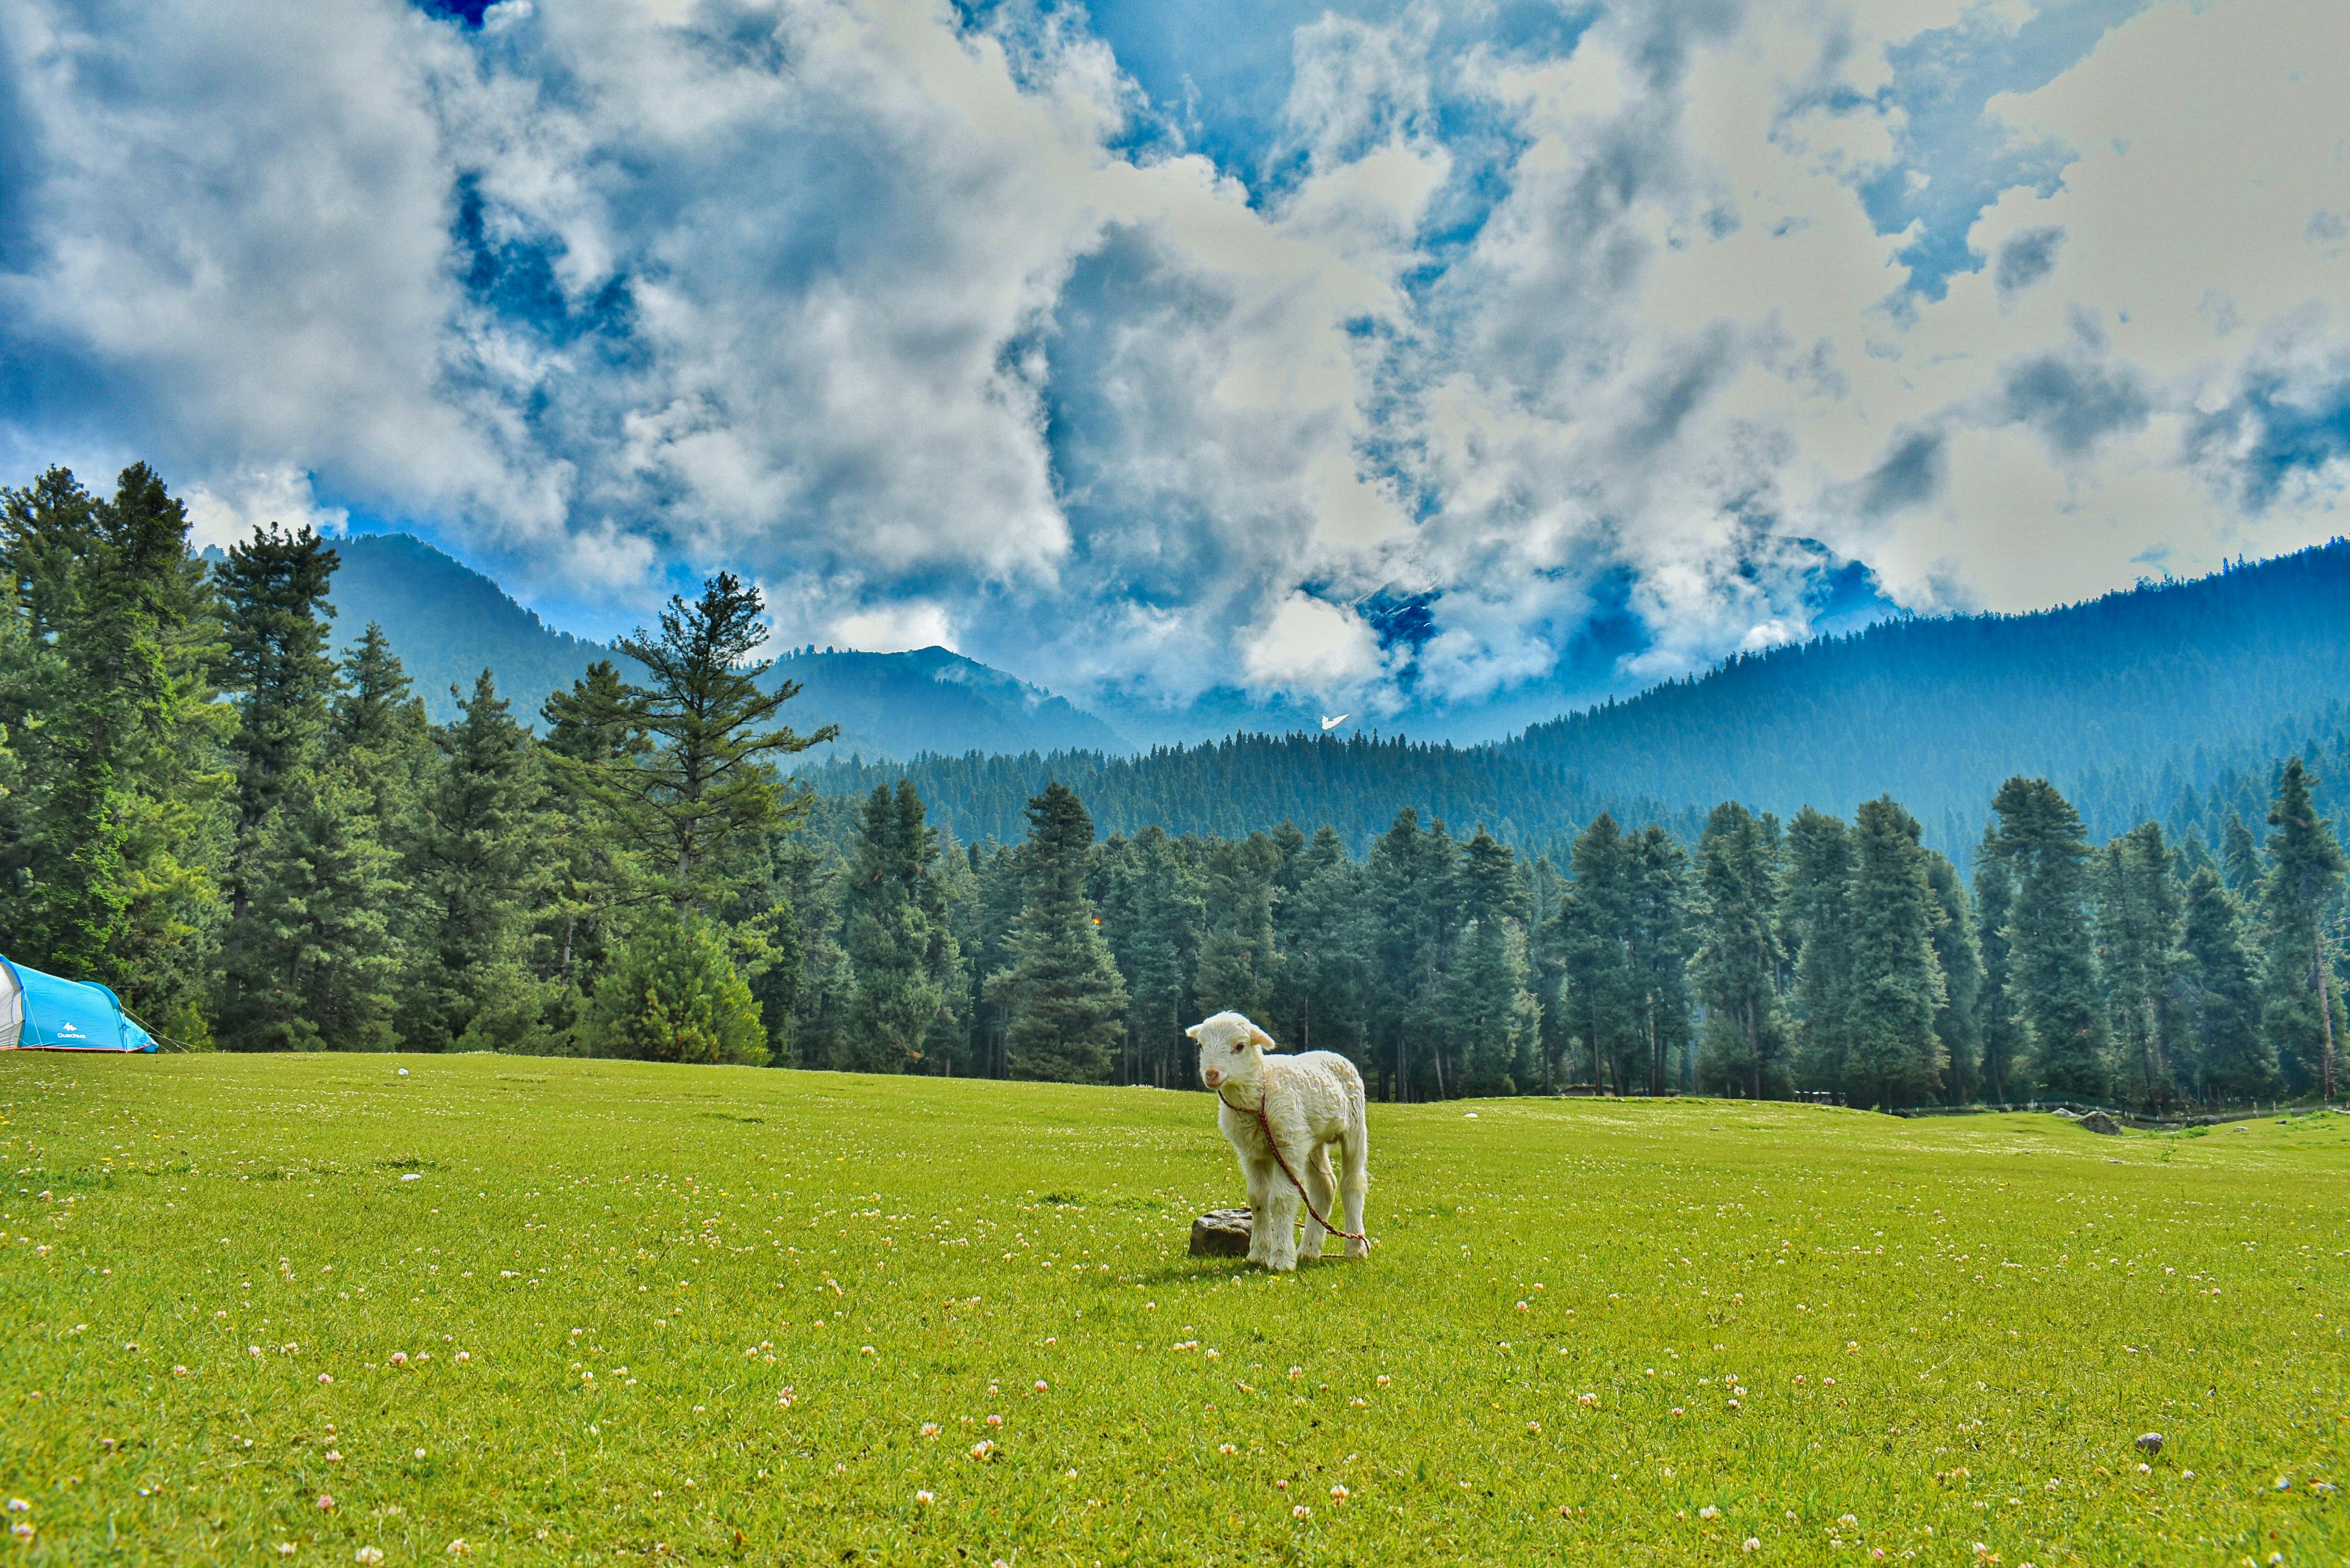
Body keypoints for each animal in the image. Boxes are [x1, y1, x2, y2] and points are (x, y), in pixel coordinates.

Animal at [1188, 1011, 1370, 1270]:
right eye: (1201, 1046)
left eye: (1240, 1046)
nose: (1212, 1074)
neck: (1261, 1090)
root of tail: (1332, 1053)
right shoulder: (1253, 1152)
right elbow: (1258, 1199)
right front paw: (1258, 1254)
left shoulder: (1288, 1145)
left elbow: (1281, 1199)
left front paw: (1281, 1259)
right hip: (1310, 1139)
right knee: (1324, 1186)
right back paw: (1309, 1250)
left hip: (1354, 1127)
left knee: (1352, 1183)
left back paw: (1355, 1247)